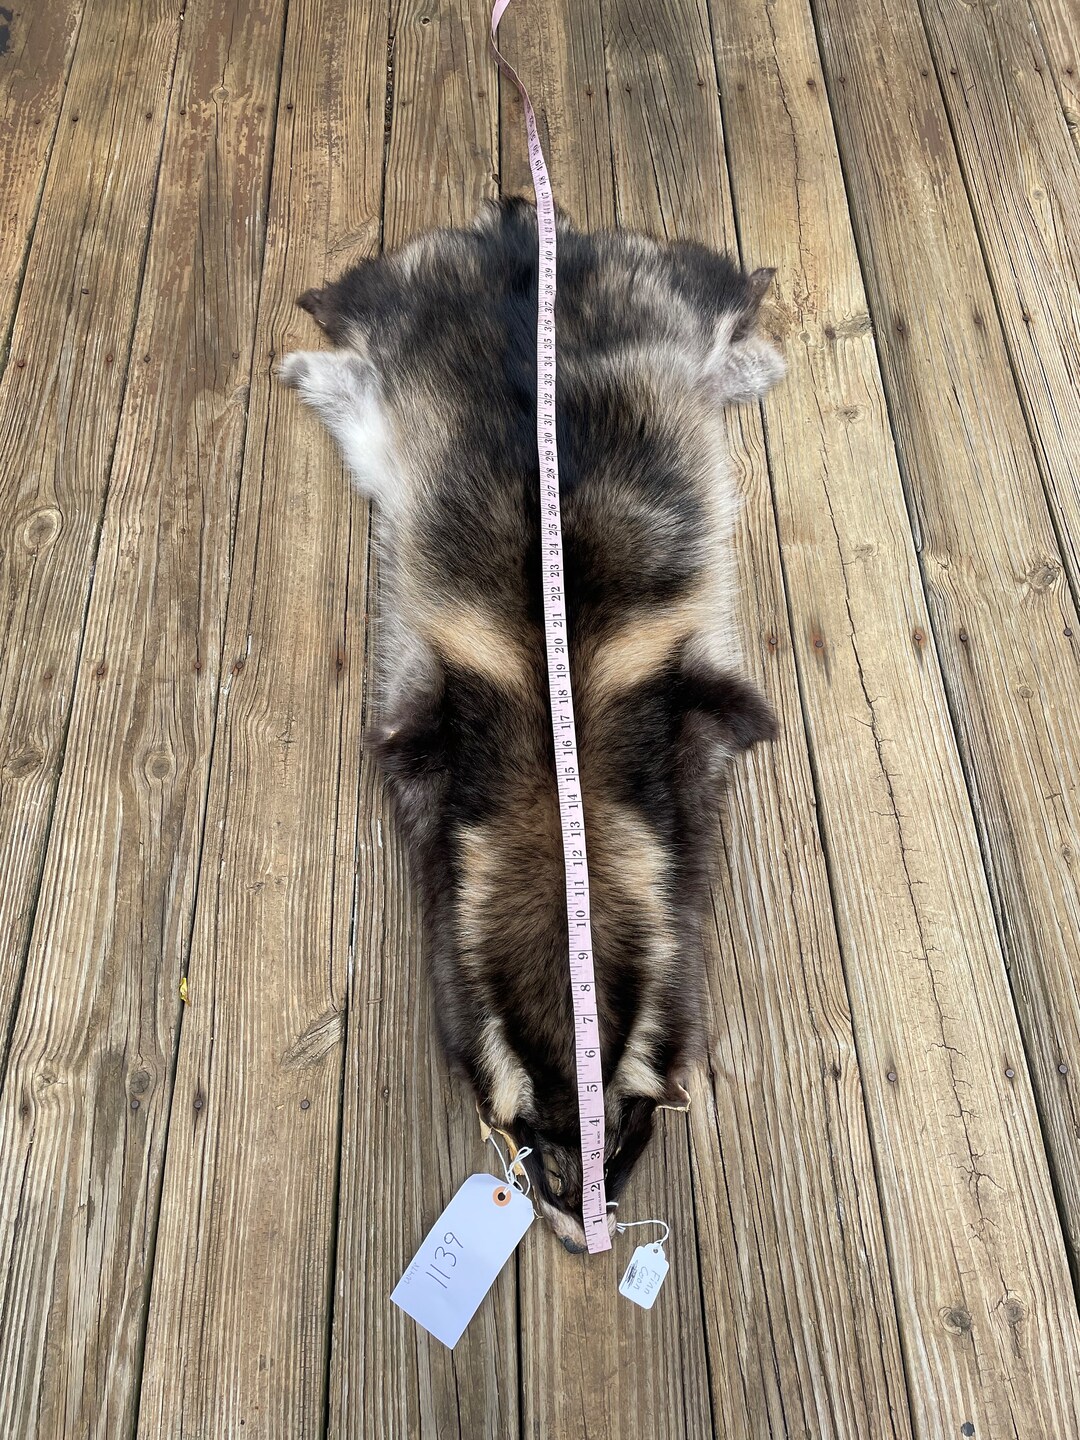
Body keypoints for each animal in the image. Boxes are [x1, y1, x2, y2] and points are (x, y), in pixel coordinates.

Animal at [279, 197, 782, 1251]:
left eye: (615, 1142)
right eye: (534, 1147)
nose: (582, 1229)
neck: (559, 817)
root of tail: (518, 244)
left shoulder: (694, 719)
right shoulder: (426, 733)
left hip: (646, 295)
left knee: (704, 285)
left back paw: (746, 335)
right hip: (412, 322)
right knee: (366, 308)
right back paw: (318, 343)